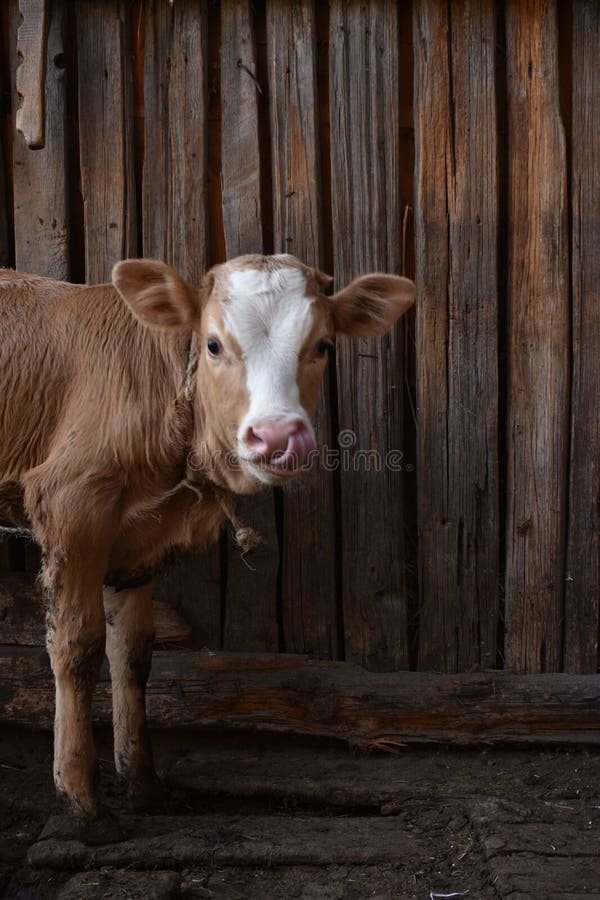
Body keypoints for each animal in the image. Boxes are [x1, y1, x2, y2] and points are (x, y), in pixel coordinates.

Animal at [0, 254, 414, 827]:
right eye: (215, 345)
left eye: (323, 346)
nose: (279, 437)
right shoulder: (71, 501)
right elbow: (76, 647)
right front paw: (83, 802)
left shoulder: (140, 541)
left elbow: (132, 653)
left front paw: (143, 786)